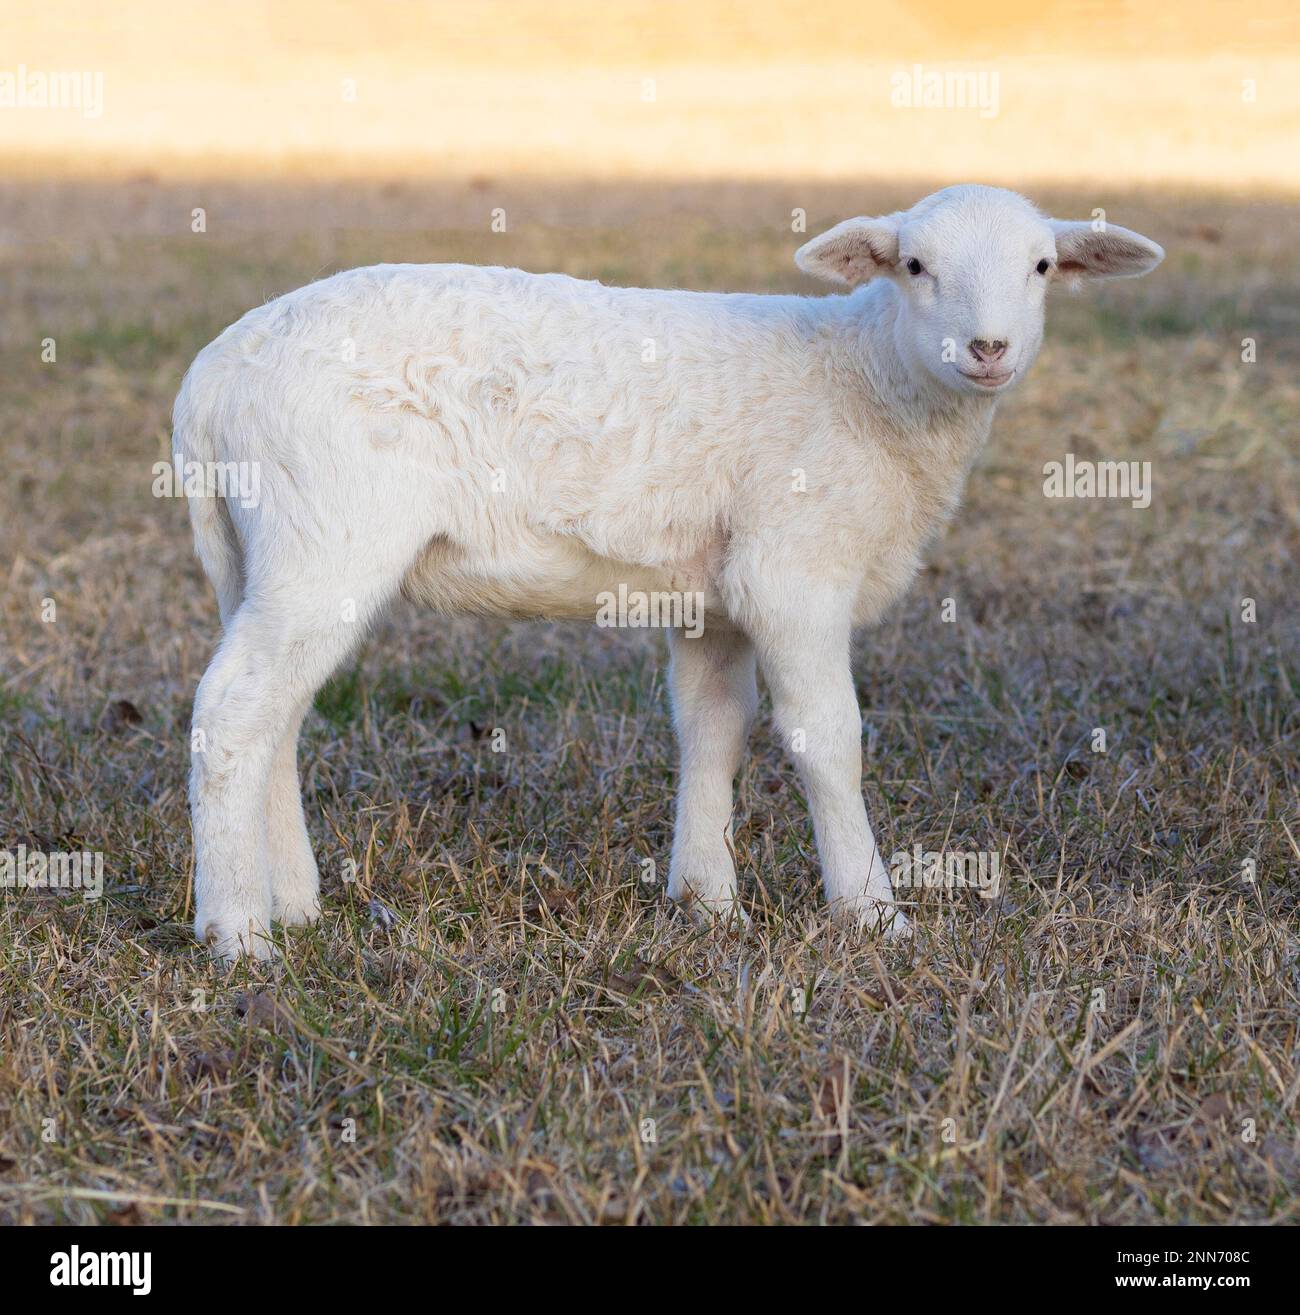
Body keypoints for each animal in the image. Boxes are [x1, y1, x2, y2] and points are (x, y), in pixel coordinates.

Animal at [175, 184, 1164, 959]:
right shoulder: (791, 568)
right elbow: (828, 738)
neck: (866, 382)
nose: (988, 348)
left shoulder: (716, 596)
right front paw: (872, 913)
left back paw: (295, 904)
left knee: (276, 717)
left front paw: (707, 900)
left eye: (1043, 266)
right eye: (914, 265)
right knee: (233, 709)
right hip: (330, 525)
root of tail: (208, 384)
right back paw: (238, 933)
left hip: (272, 550)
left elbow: (712, 730)